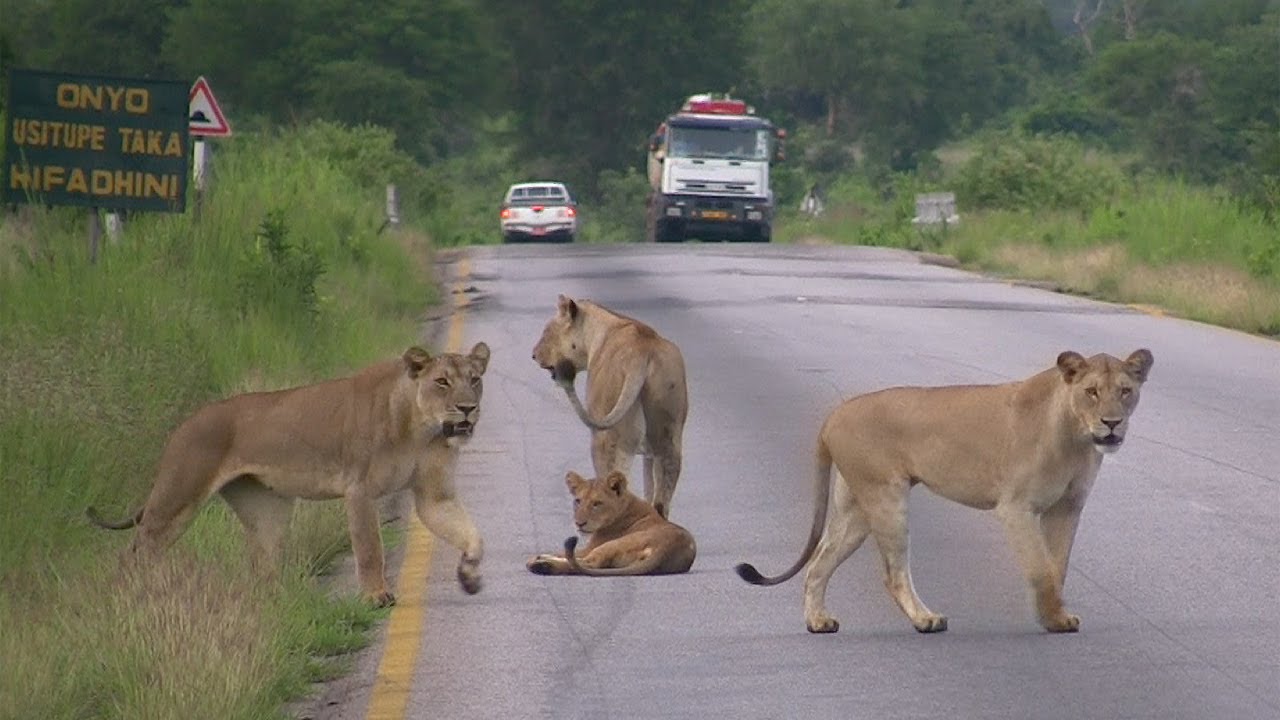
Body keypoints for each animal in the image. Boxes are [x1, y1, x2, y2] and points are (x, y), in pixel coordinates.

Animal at [85, 342, 492, 607]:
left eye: (474, 379)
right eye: (442, 382)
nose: (467, 409)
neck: (421, 428)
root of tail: (183, 425)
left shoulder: (434, 496)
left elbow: (471, 533)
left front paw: (470, 576)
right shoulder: (358, 489)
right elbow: (369, 548)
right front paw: (376, 595)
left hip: (266, 510)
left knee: (261, 564)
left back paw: (280, 605)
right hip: (176, 496)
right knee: (134, 554)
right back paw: (124, 605)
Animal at [526, 470, 696, 576]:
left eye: (597, 503)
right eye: (578, 501)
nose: (579, 523)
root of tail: (667, 549)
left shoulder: (590, 547)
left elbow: (563, 553)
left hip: (614, 543)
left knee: (587, 563)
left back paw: (540, 564)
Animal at [531, 295, 689, 518]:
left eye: (546, 330)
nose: (533, 354)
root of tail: (641, 354)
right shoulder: (650, 454)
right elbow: (649, 488)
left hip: (609, 441)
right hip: (669, 440)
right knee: (660, 503)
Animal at [737, 349, 1154, 635]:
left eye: (1125, 391)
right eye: (1092, 392)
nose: (1112, 423)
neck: (1076, 438)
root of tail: (834, 414)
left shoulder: (1067, 508)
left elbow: (1057, 566)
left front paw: (1055, 615)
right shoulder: (1016, 507)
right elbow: (1040, 567)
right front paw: (1052, 618)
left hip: (856, 508)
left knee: (819, 563)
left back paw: (818, 622)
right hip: (885, 497)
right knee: (892, 573)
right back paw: (926, 620)